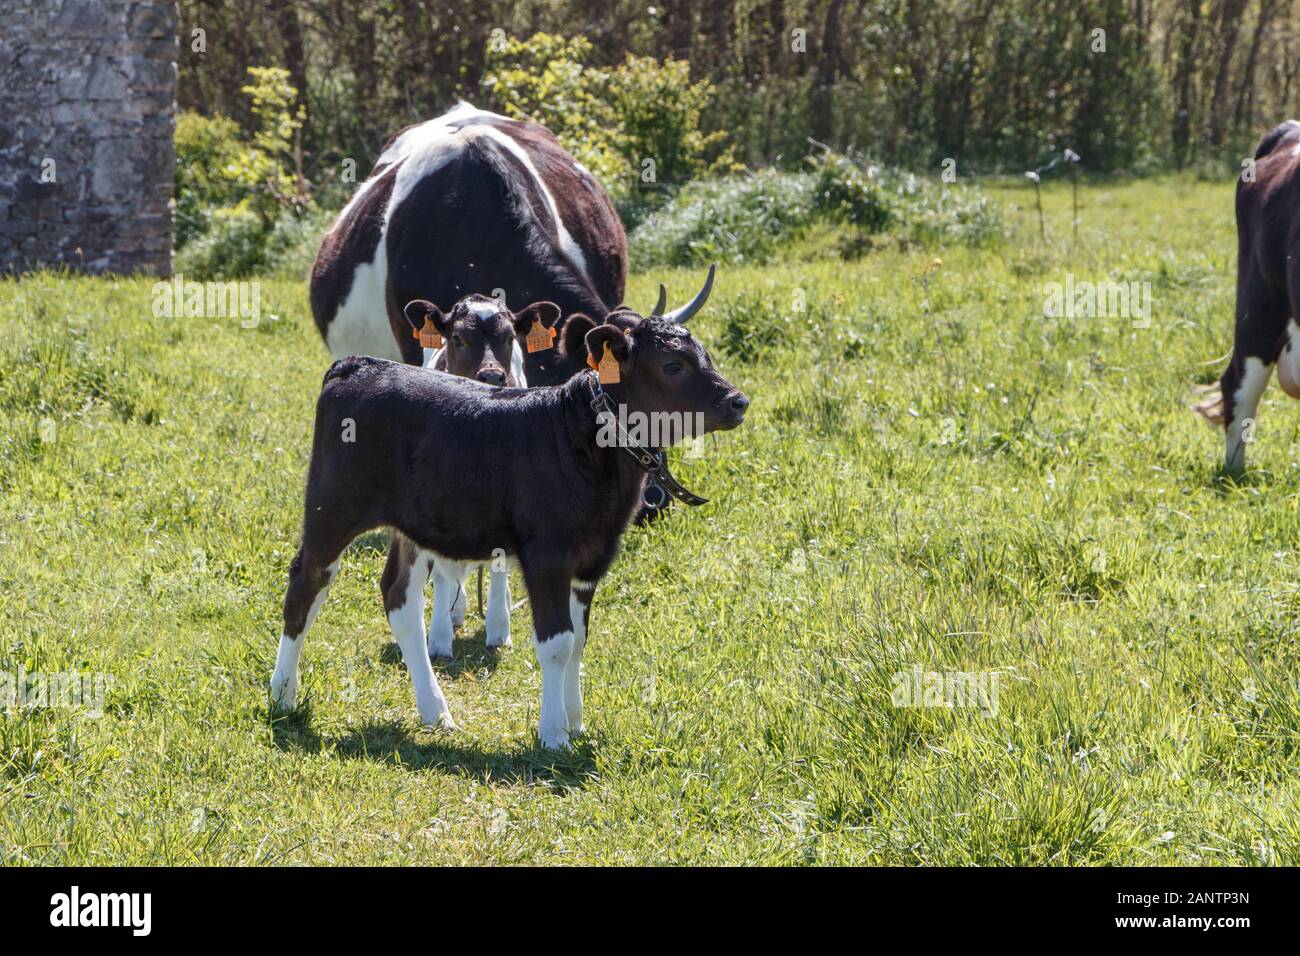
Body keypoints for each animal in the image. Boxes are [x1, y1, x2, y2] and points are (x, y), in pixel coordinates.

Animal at [269, 304, 750, 749]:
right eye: (673, 365)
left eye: (704, 356)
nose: (738, 401)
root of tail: (357, 365)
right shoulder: (548, 555)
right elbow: (556, 644)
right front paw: (553, 735)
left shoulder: (592, 557)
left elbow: (579, 641)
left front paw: (575, 722)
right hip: (331, 508)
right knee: (305, 586)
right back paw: (282, 697)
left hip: (408, 525)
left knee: (399, 599)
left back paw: (435, 712)